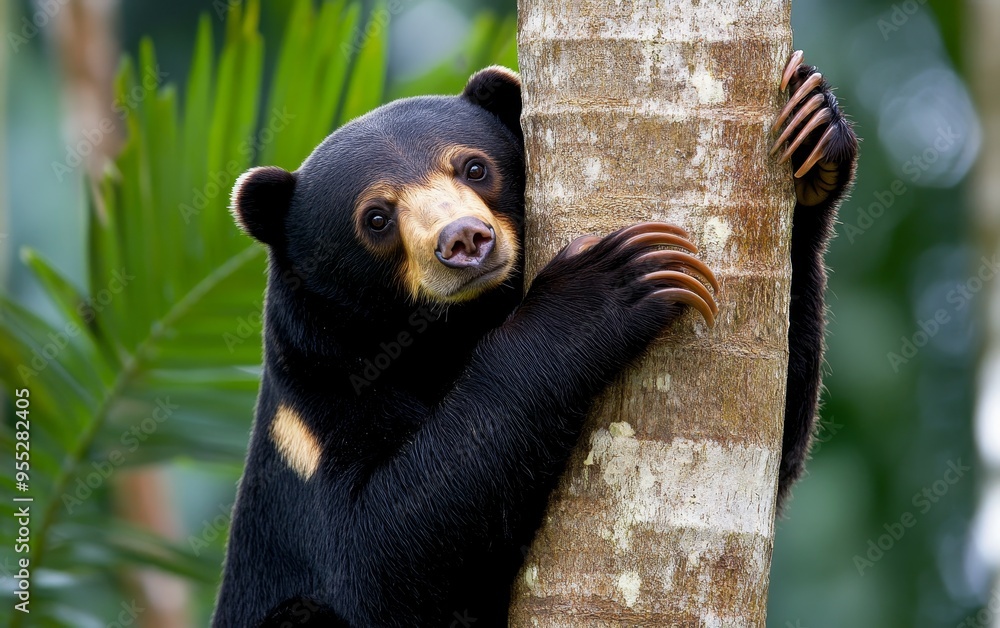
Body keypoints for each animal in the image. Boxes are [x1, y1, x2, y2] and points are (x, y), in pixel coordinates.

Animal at [212, 53, 857, 627]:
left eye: (474, 168)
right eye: (375, 217)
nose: (464, 240)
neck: (445, 334)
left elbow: (776, 455)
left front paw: (813, 129)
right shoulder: (314, 413)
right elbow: (382, 552)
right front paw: (610, 281)